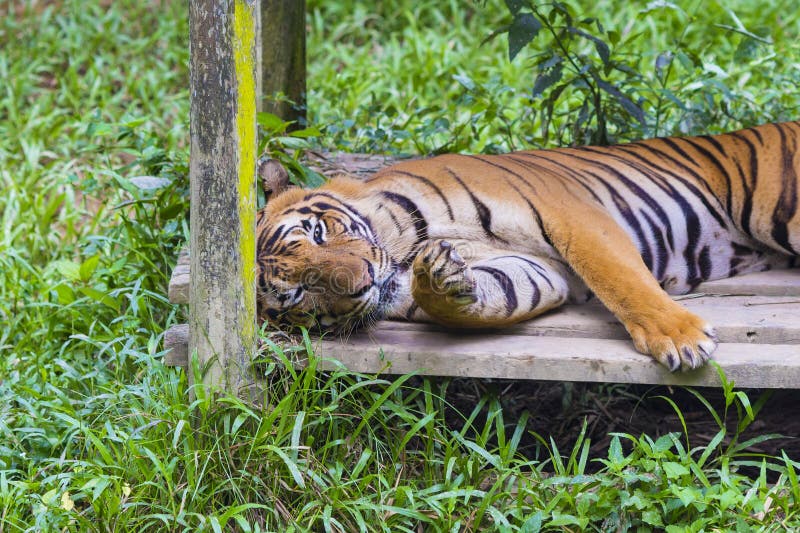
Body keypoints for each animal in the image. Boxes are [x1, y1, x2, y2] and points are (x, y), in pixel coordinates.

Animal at [256, 121, 799, 372]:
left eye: (319, 233)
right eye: (299, 293)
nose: (364, 281)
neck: (406, 246)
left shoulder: (570, 212)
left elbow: (618, 277)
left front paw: (679, 338)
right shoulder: (537, 268)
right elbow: (498, 293)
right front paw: (442, 280)